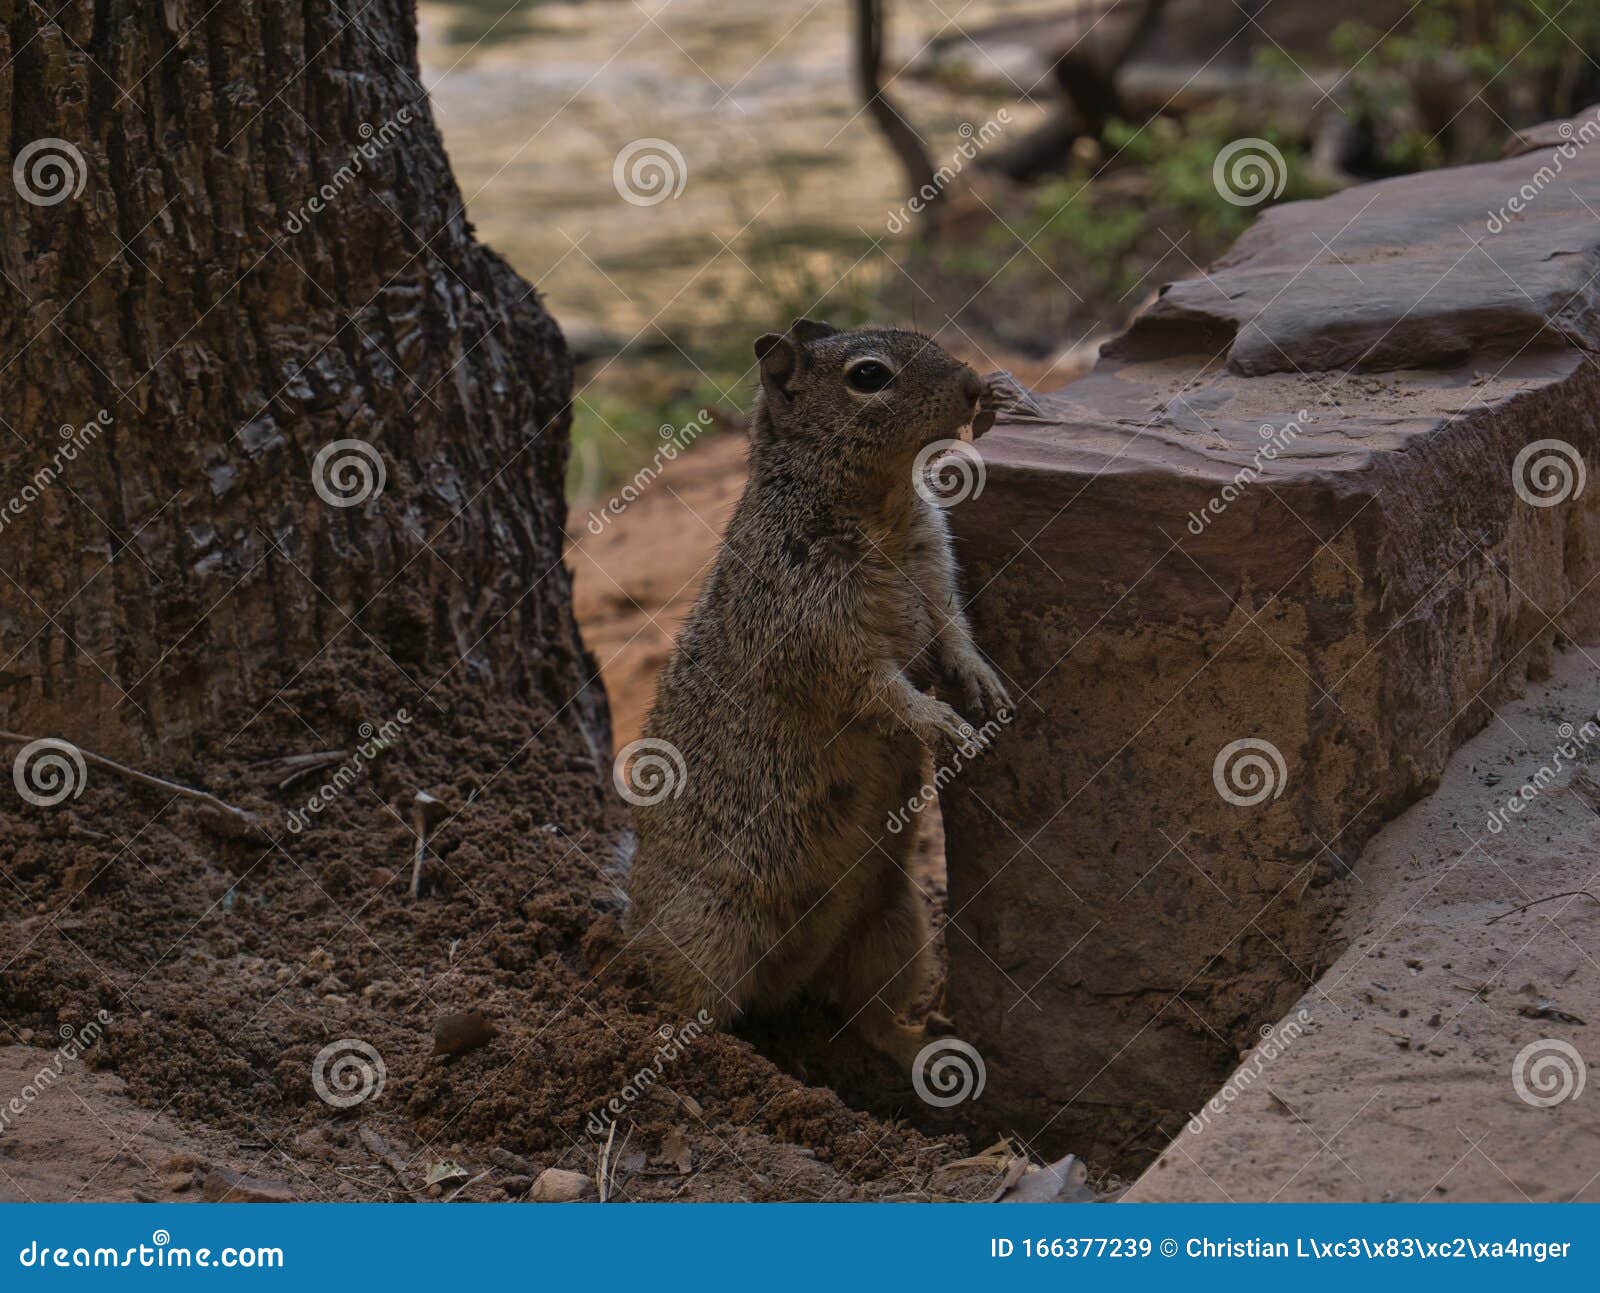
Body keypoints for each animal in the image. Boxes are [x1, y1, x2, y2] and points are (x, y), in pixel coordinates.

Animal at [622, 319, 1023, 1069]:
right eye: (868, 376)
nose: (974, 385)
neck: (887, 506)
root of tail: (787, 980)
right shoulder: (811, 630)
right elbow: (876, 687)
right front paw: (937, 720)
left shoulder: (935, 577)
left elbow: (953, 632)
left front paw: (980, 678)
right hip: (708, 933)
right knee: (693, 1003)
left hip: (896, 928)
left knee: (865, 1015)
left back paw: (917, 1041)